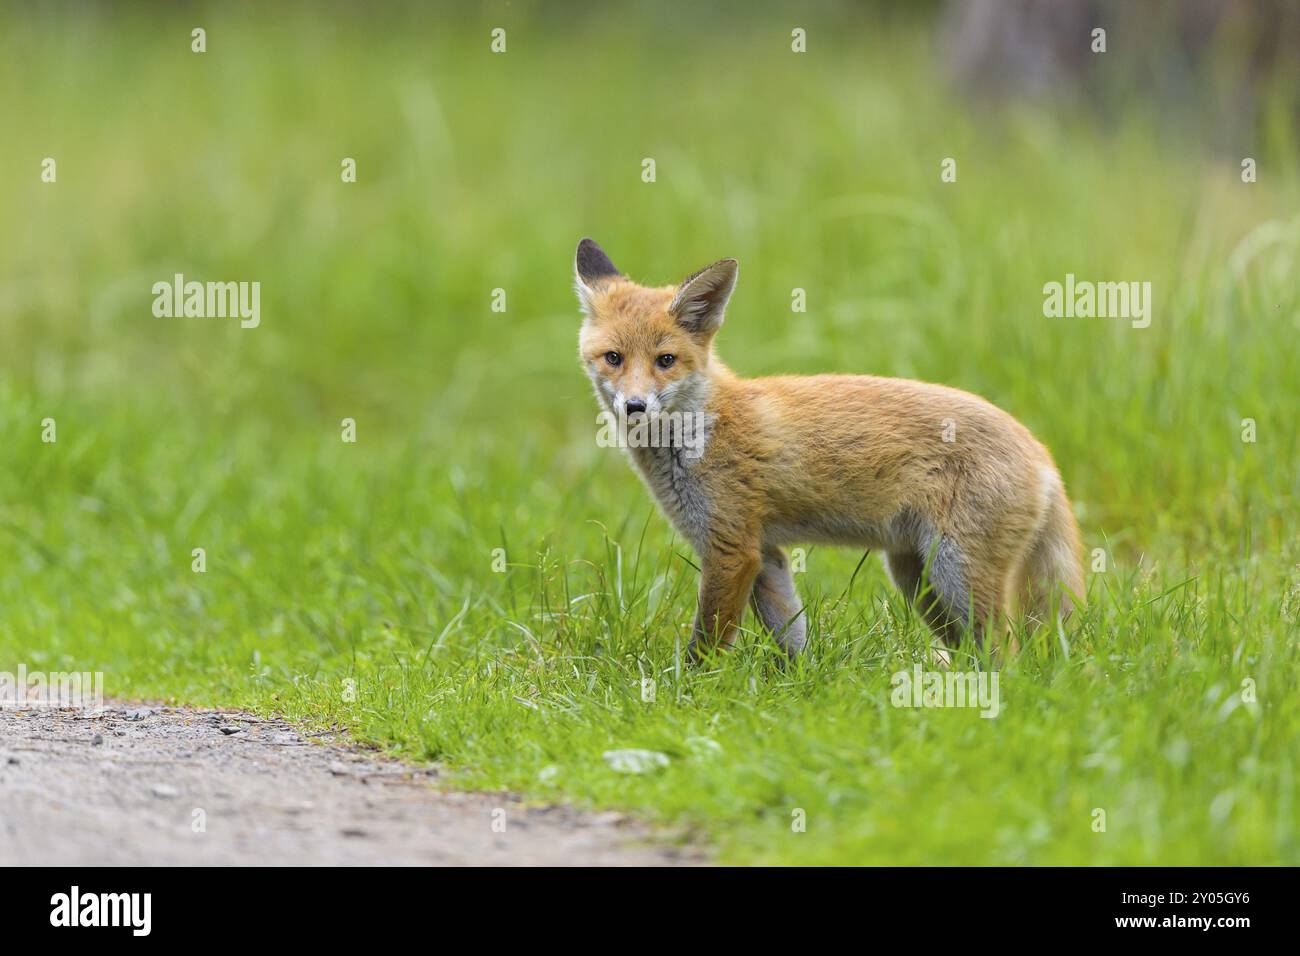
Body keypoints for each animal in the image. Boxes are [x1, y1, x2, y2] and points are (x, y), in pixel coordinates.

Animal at [574, 238, 1084, 660]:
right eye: (614, 358)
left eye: (665, 360)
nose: (635, 406)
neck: (702, 430)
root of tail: (1042, 451)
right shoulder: (766, 553)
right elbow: (790, 635)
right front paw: (793, 687)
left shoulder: (732, 549)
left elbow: (707, 642)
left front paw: (693, 690)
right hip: (916, 576)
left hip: (954, 573)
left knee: (1006, 652)